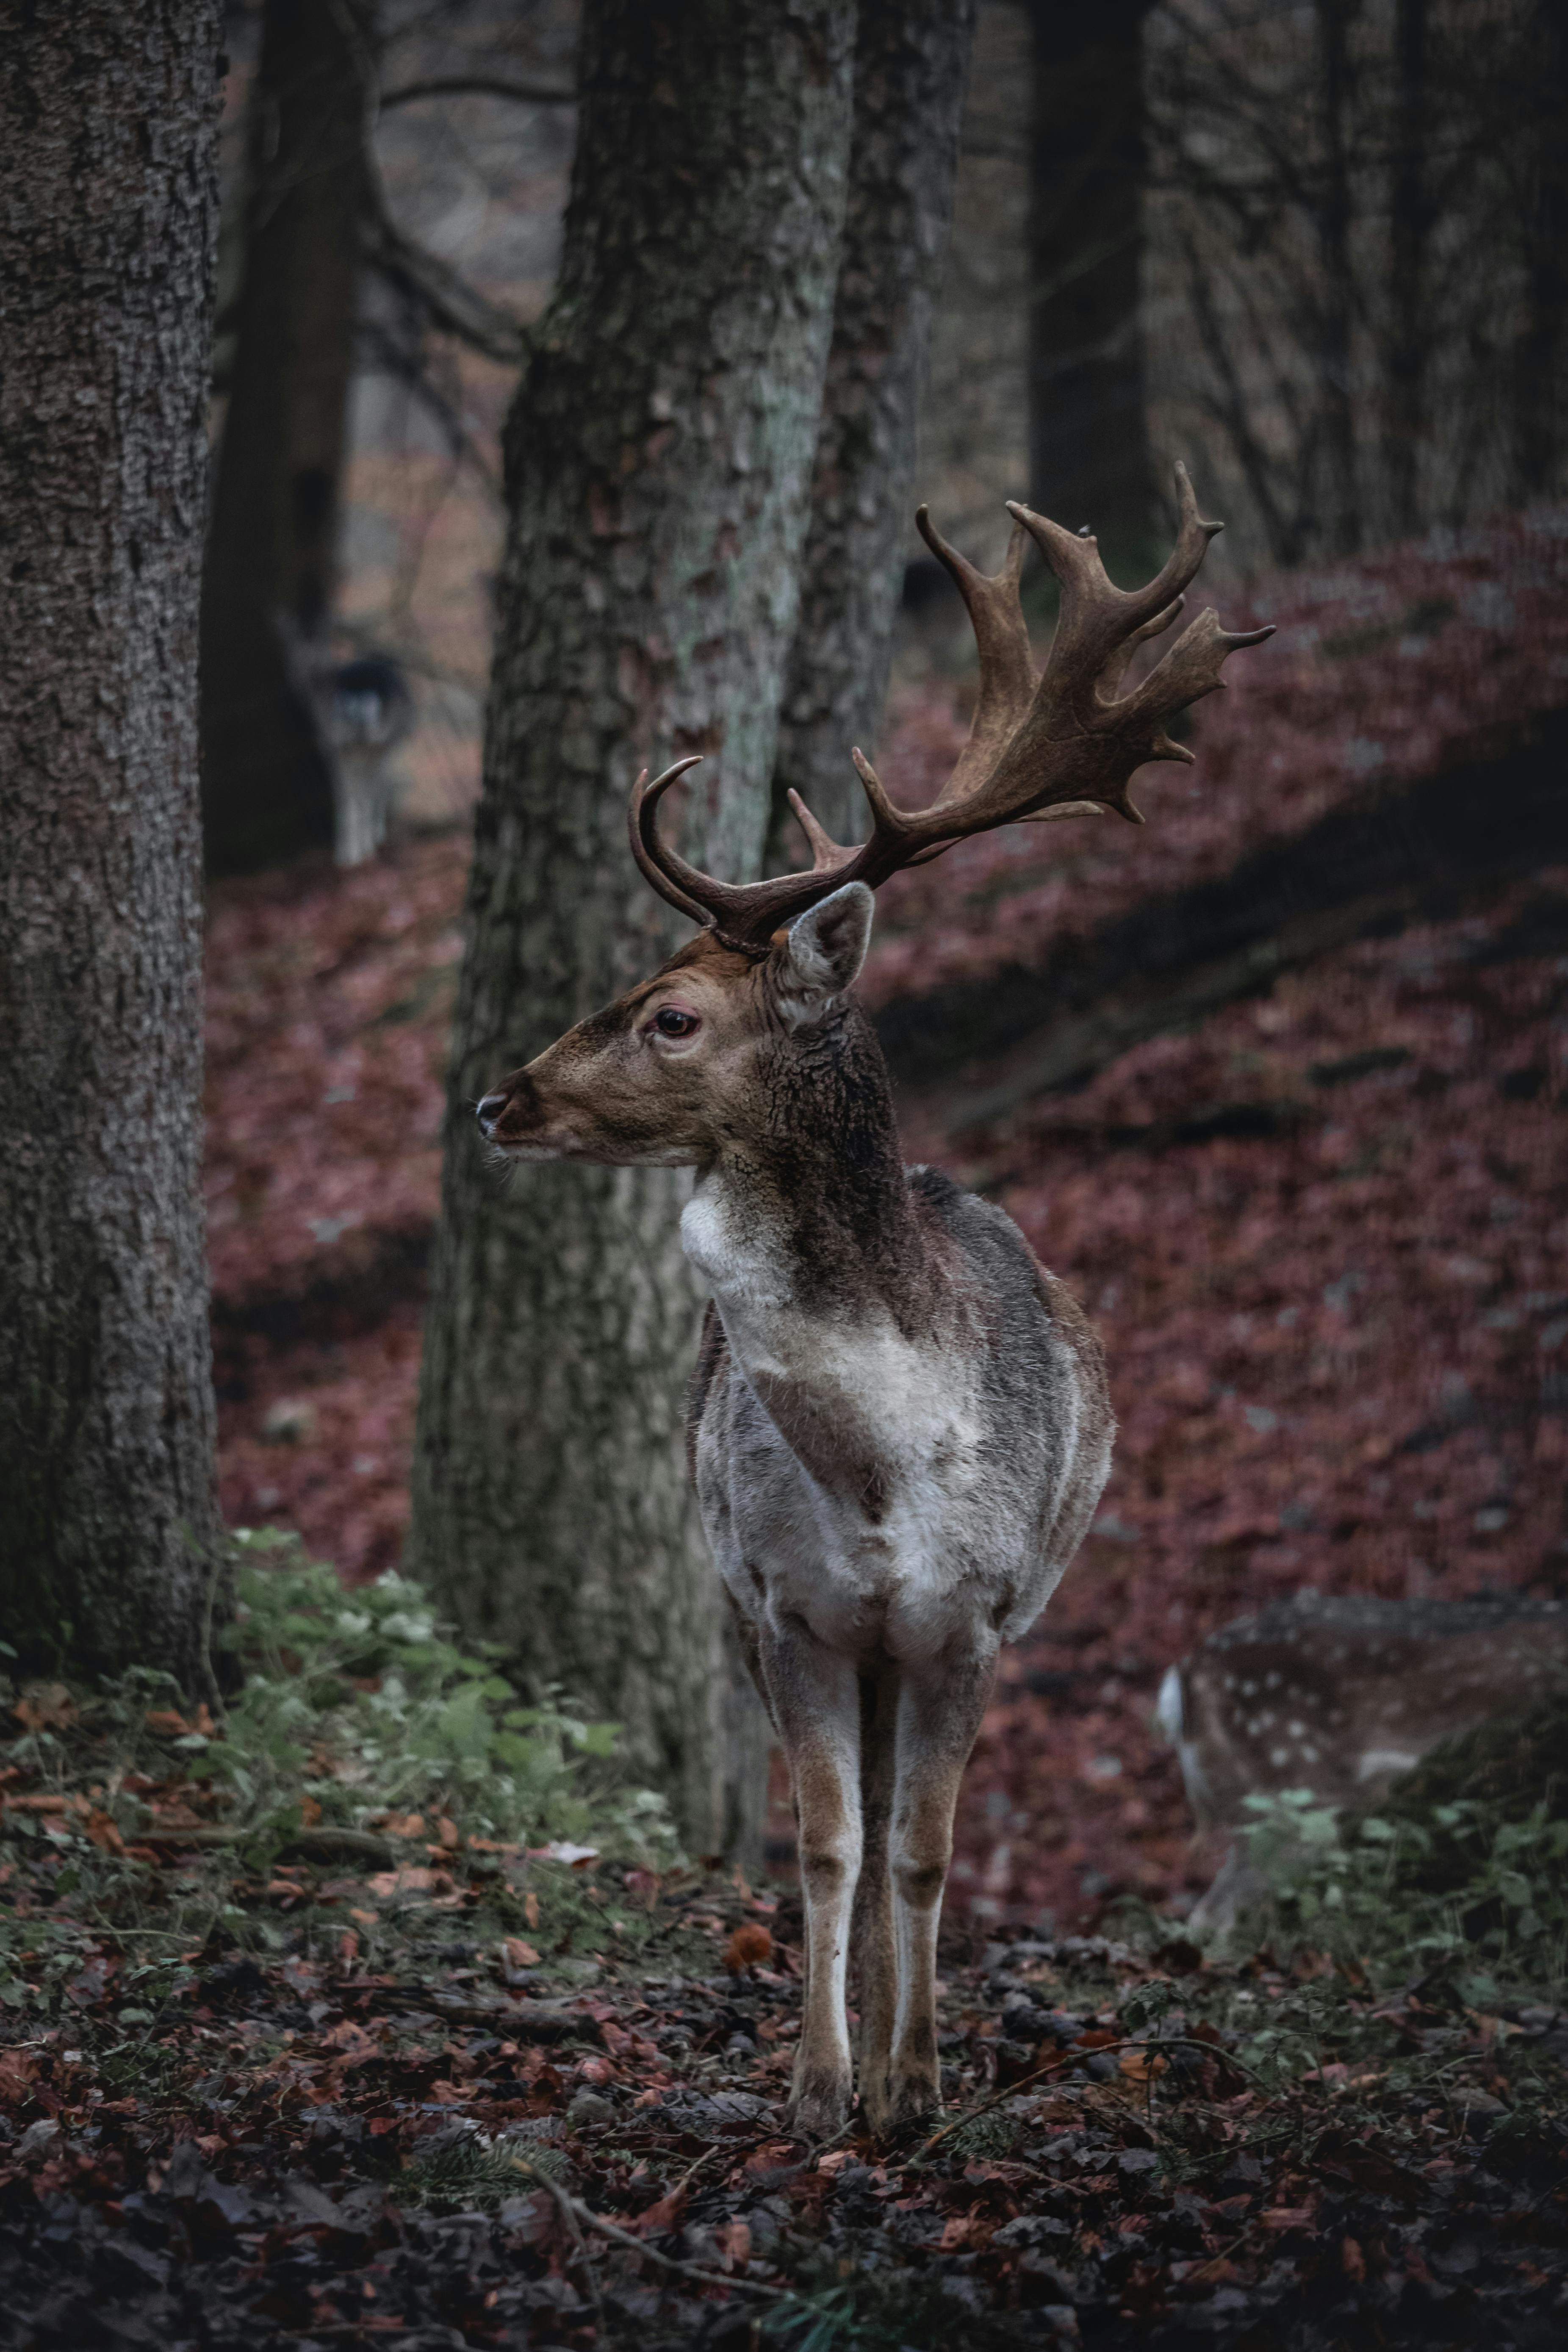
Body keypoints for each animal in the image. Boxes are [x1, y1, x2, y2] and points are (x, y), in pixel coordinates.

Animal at [476, 465, 1271, 2136]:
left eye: (670, 1014)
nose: (497, 1099)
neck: (882, 1463)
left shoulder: (973, 1616)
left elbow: (924, 1847)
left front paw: (915, 2083)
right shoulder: (788, 1607)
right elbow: (829, 1844)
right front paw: (816, 2085)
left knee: (923, 1822)